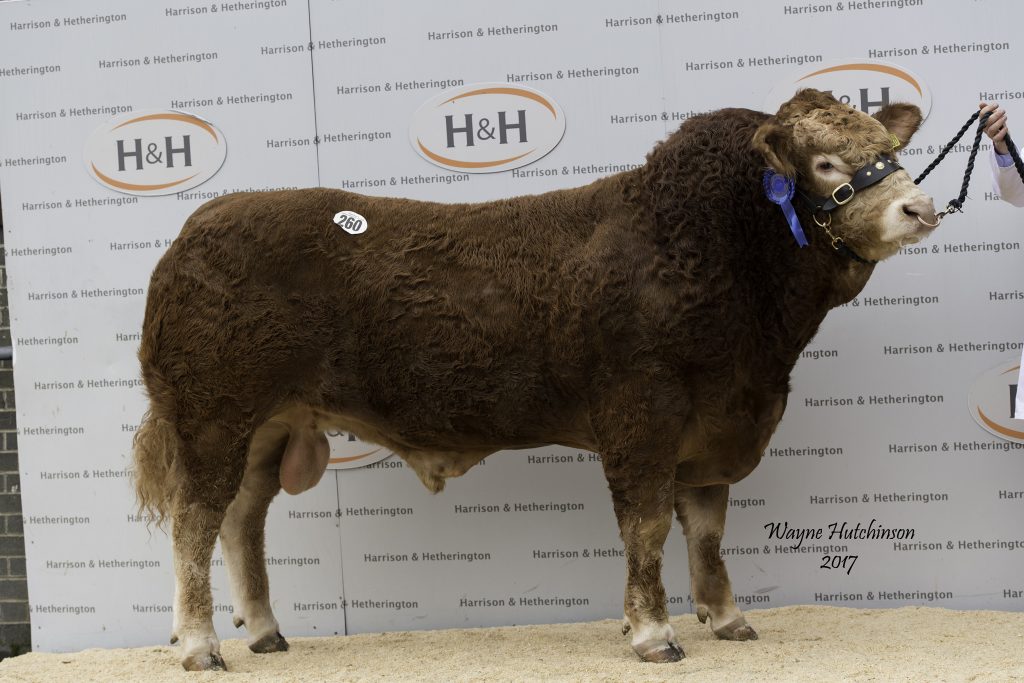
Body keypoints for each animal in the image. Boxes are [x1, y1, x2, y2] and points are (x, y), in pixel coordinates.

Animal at [133, 88, 936, 670]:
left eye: (890, 149)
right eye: (825, 163)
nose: (922, 206)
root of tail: (196, 229)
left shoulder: (715, 425)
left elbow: (707, 532)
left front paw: (729, 618)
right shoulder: (642, 415)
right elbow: (646, 526)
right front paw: (654, 633)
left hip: (267, 424)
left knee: (242, 517)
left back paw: (265, 631)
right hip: (213, 414)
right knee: (196, 521)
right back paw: (200, 646)